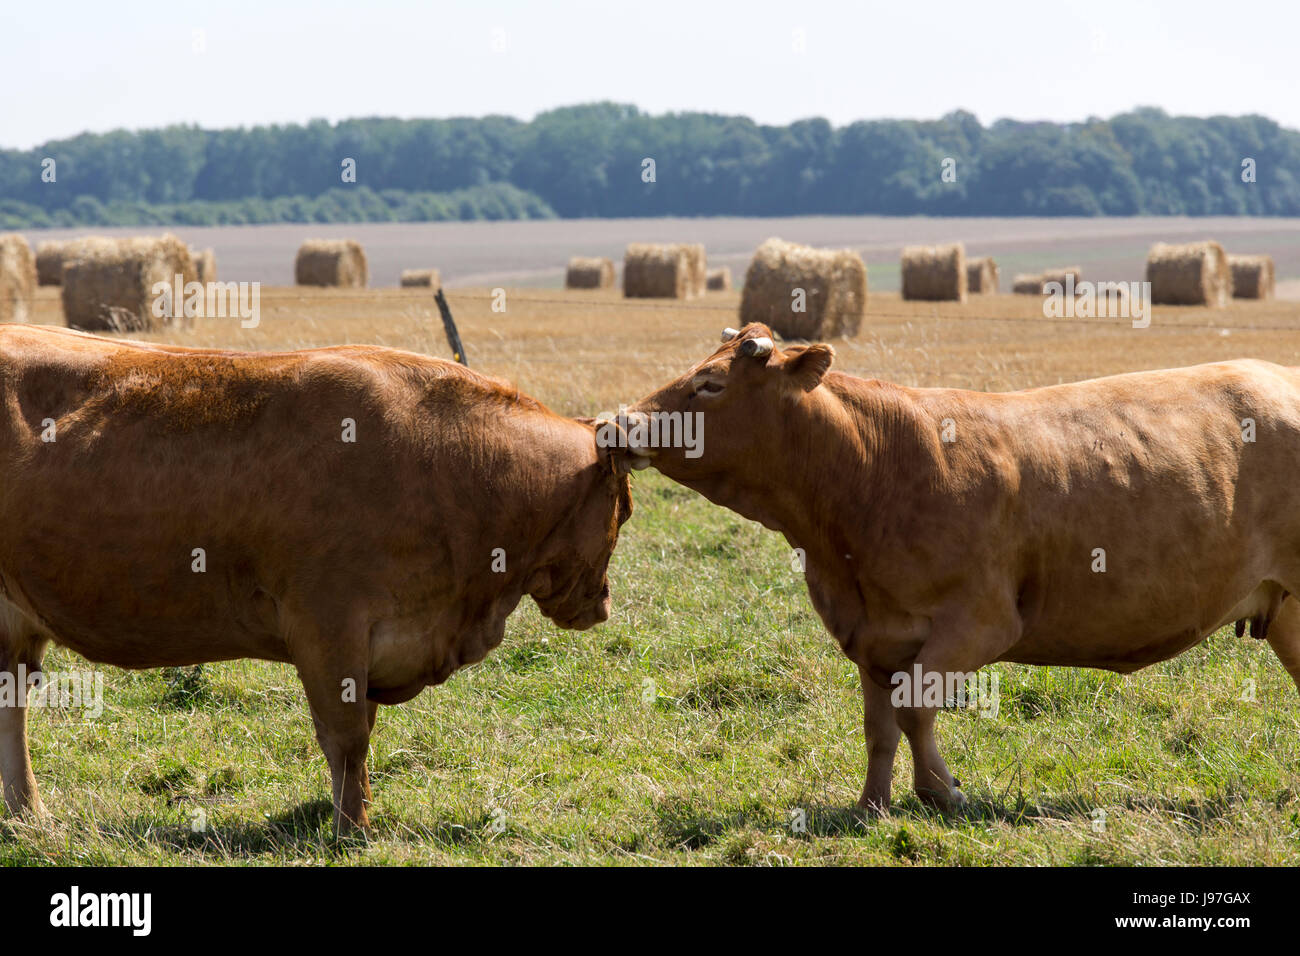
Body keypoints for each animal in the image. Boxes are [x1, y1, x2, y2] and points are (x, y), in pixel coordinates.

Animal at [0, 324, 636, 834]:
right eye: (626, 510)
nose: (603, 604)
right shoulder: (328, 628)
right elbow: (347, 739)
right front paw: (352, 831)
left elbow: (359, 738)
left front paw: (353, 815)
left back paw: (30, 817)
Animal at [622, 322, 1300, 814]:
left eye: (711, 384)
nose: (618, 421)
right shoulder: (875, 636)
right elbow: (880, 726)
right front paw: (871, 806)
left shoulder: (979, 623)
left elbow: (914, 708)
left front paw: (940, 792)